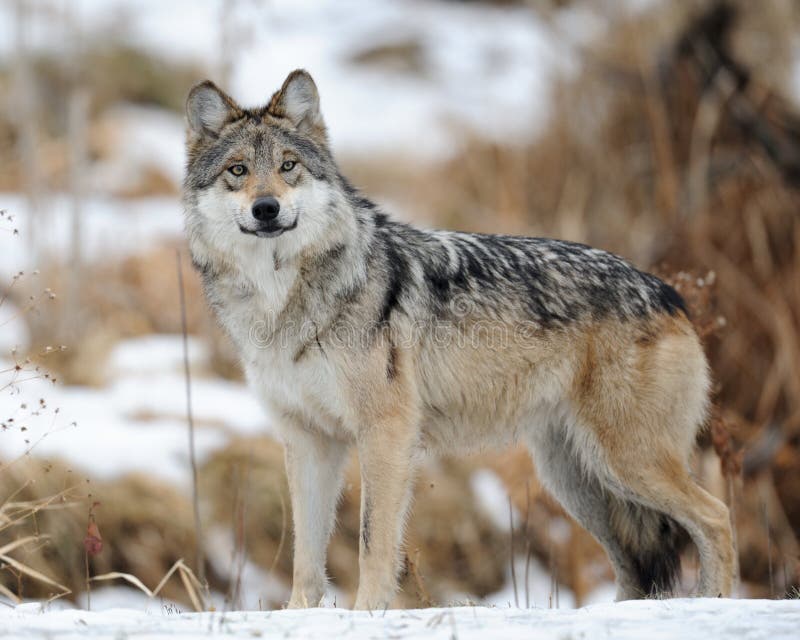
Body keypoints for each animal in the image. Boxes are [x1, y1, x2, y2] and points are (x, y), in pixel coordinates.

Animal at [183, 69, 735, 609]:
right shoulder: (306, 440)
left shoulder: (386, 432)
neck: (282, 301)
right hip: (578, 480)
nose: (267, 208)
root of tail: (669, 293)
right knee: (636, 568)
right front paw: (301, 616)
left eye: (289, 166)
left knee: (717, 517)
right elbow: (306, 554)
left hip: (626, 463)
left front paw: (367, 615)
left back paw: (715, 601)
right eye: (238, 171)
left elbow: (372, 542)